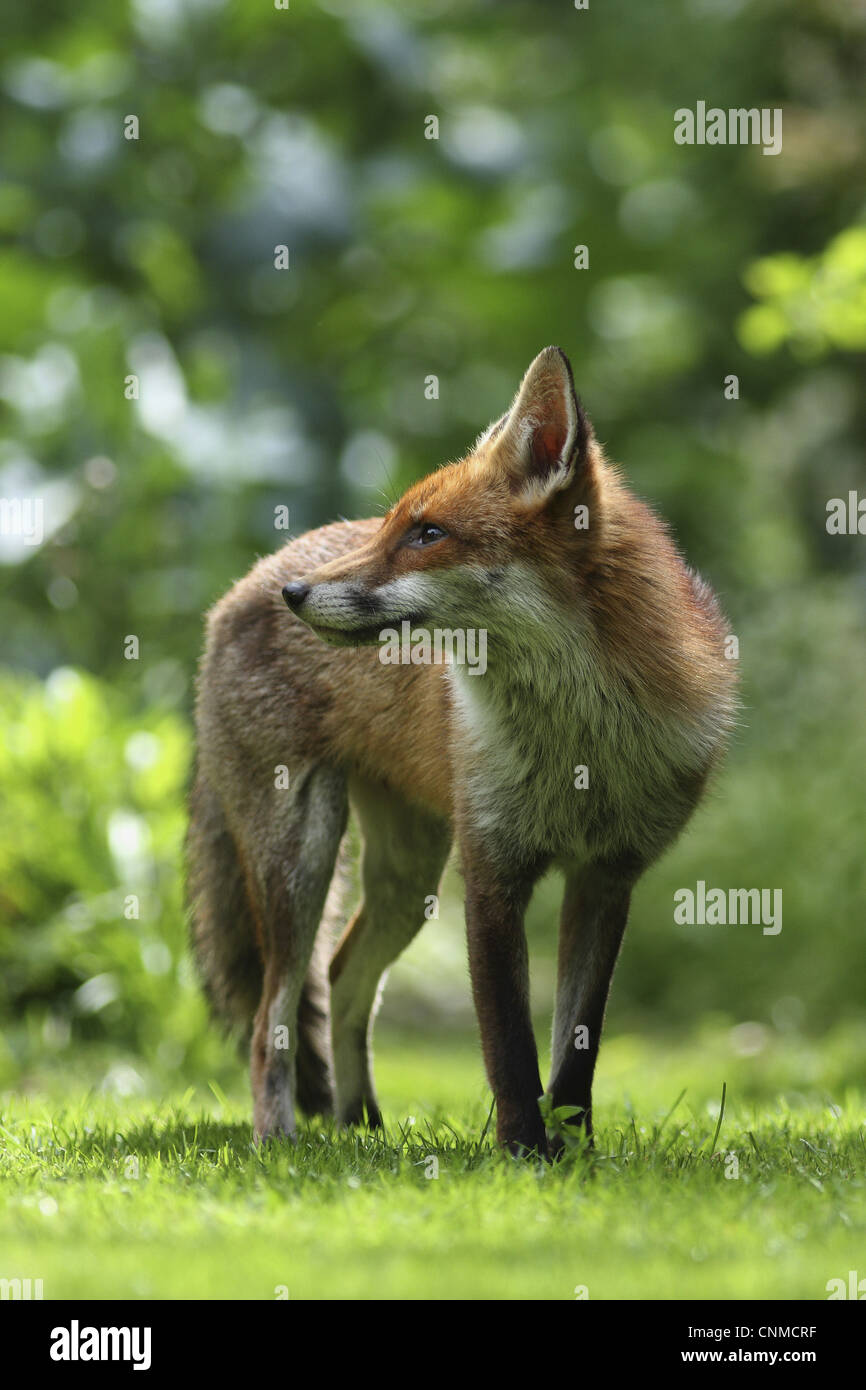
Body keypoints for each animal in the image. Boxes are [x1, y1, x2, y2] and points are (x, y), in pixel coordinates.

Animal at [187, 346, 736, 1158]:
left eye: (427, 534)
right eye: (392, 526)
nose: (296, 593)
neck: (580, 745)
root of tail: (240, 584)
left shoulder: (607, 878)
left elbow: (576, 1048)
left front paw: (576, 1153)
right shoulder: (490, 871)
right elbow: (508, 1046)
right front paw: (524, 1154)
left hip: (407, 878)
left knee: (342, 977)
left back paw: (360, 1128)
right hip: (303, 860)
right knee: (272, 1020)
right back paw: (278, 1145)